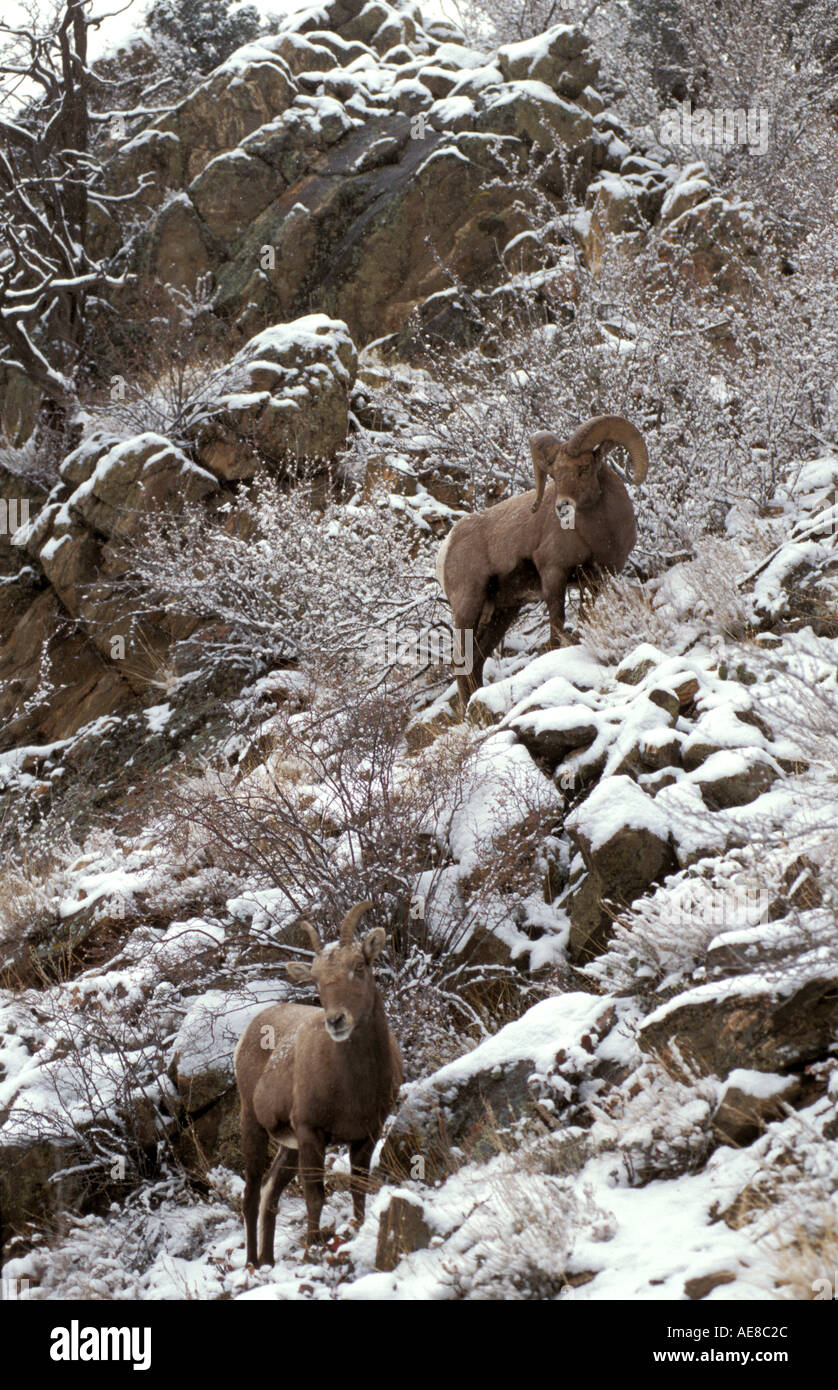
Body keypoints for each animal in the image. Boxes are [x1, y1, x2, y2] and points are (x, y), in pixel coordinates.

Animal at [234, 901, 403, 1264]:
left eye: (359, 966)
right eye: (316, 979)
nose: (336, 1020)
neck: (353, 1085)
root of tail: (249, 1031)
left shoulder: (366, 1134)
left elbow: (358, 1187)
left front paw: (357, 1230)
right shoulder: (312, 1133)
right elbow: (315, 1197)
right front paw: (312, 1249)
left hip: (288, 1146)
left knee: (270, 1191)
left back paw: (268, 1262)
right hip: (253, 1125)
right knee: (252, 1194)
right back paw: (253, 1264)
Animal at [437, 414, 649, 708]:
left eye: (584, 468)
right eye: (555, 475)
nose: (562, 507)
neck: (601, 533)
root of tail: (448, 544)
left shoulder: (599, 578)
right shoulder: (554, 574)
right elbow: (556, 628)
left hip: (502, 612)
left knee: (476, 660)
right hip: (468, 605)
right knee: (461, 660)